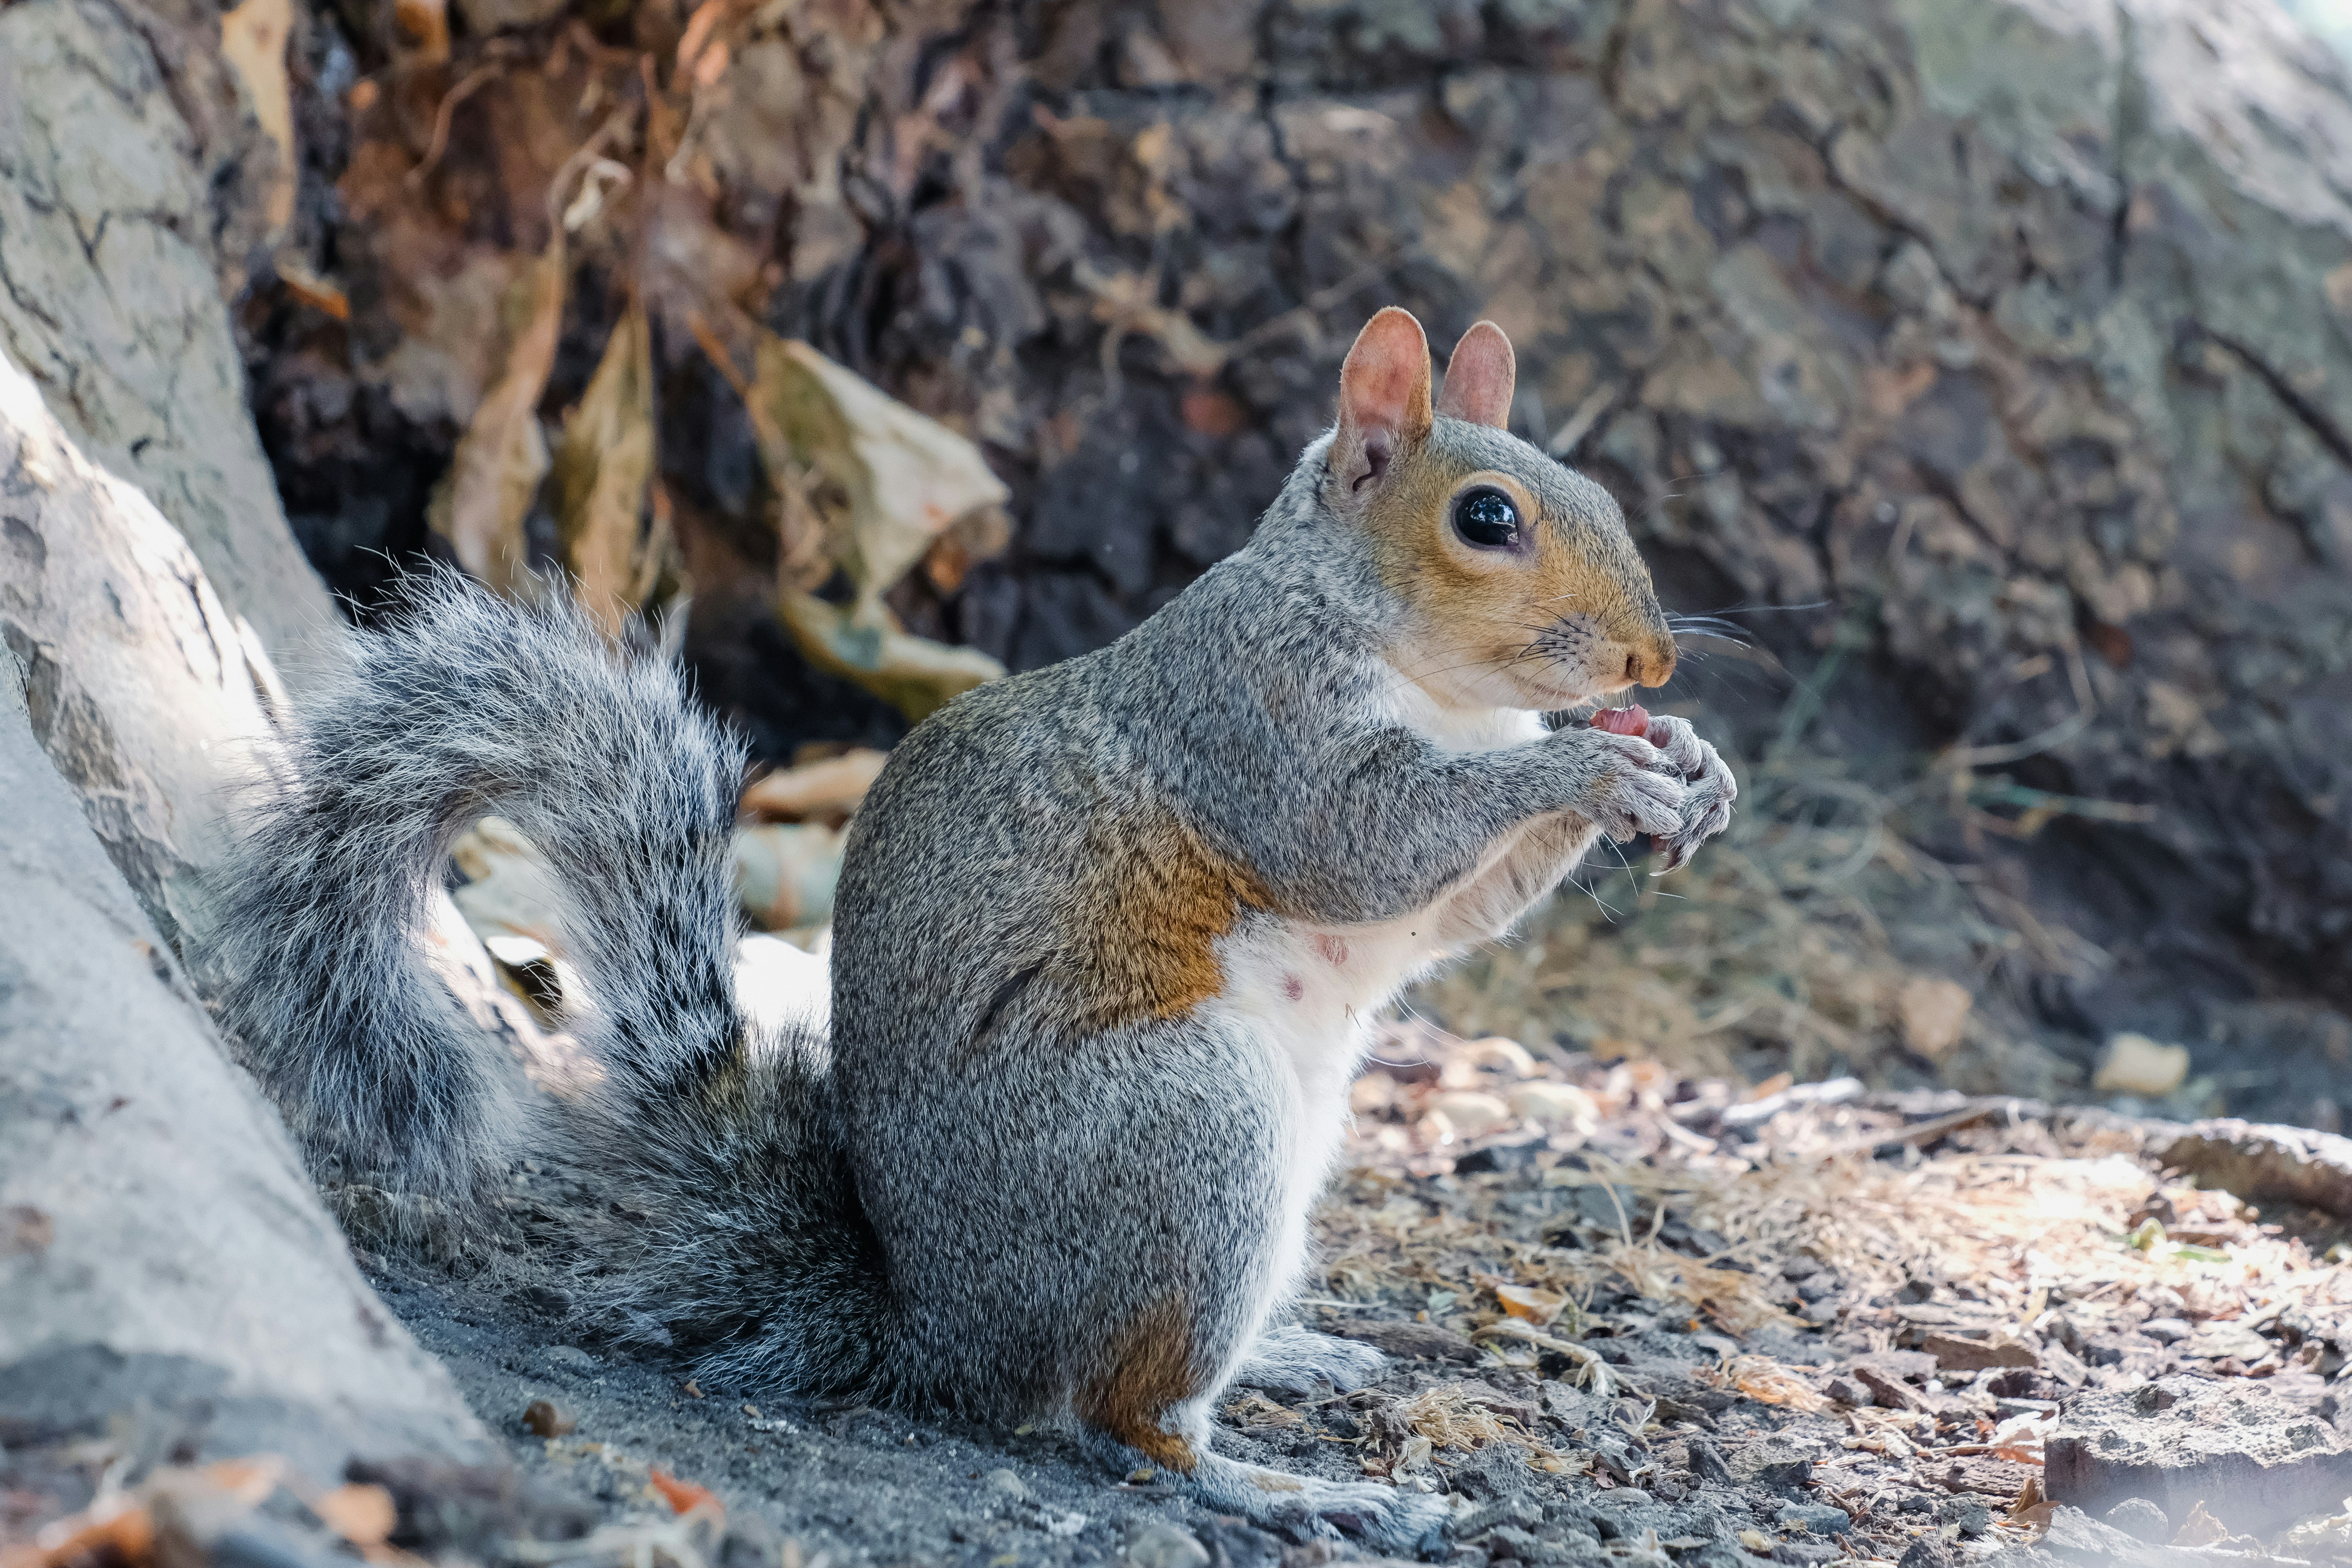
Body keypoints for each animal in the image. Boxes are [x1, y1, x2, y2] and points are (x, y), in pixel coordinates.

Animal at [208, 307, 1735, 1552]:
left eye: (1599, 494)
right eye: (1486, 519)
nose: (1652, 658)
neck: (1431, 682)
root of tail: (933, 1331)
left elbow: (1456, 905)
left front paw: (1685, 762)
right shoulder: (1252, 730)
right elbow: (1363, 847)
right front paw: (1592, 766)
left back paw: (1300, 1359)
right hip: (1188, 1131)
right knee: (1121, 1418)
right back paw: (1286, 1483)